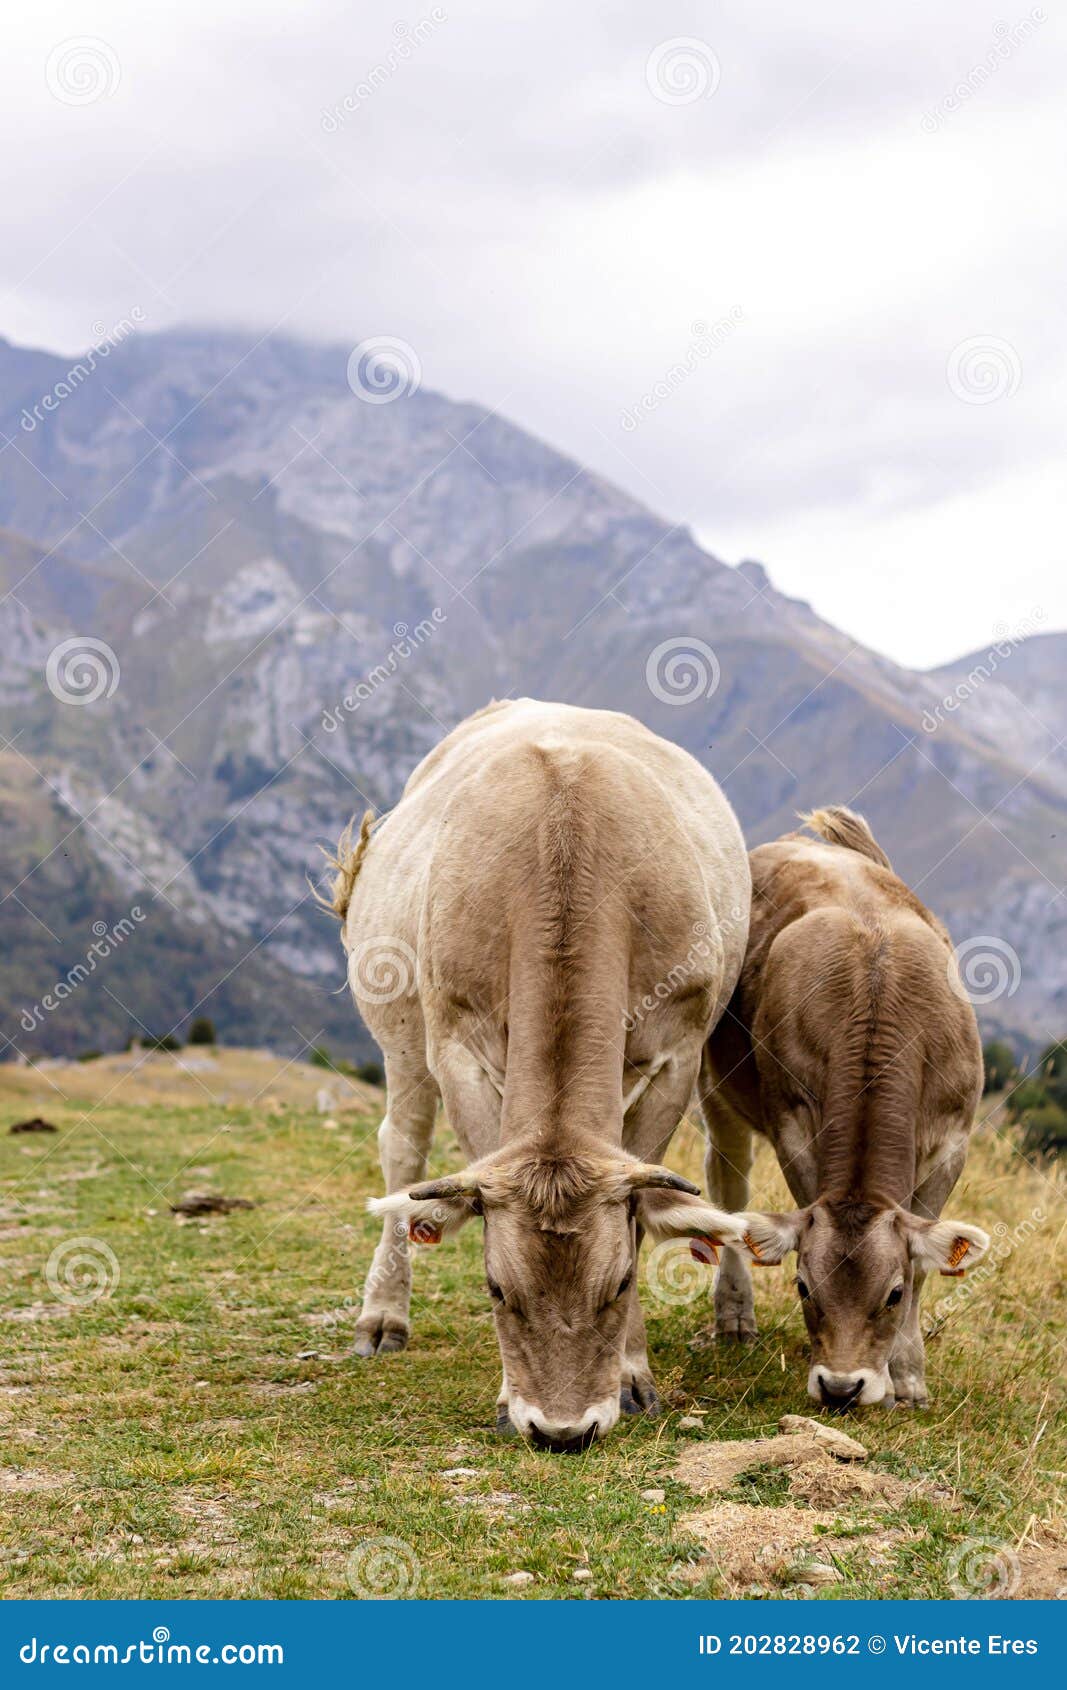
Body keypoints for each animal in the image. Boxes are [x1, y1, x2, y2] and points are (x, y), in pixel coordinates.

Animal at [322, 699, 751, 1450]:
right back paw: (383, 1315)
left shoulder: (677, 1052)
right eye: (497, 1287)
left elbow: (643, 1201)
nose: (561, 1430)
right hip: (401, 1038)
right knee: (401, 1151)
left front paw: (631, 1373)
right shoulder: (457, 1048)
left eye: (620, 1284)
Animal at [698, 806, 990, 1411]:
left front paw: (907, 1378)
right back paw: (734, 1316)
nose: (840, 1387)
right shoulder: (794, 1128)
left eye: (892, 1294)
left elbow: (924, 1264)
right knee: (729, 1186)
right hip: (716, 1087)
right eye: (803, 1286)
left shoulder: (952, 1142)